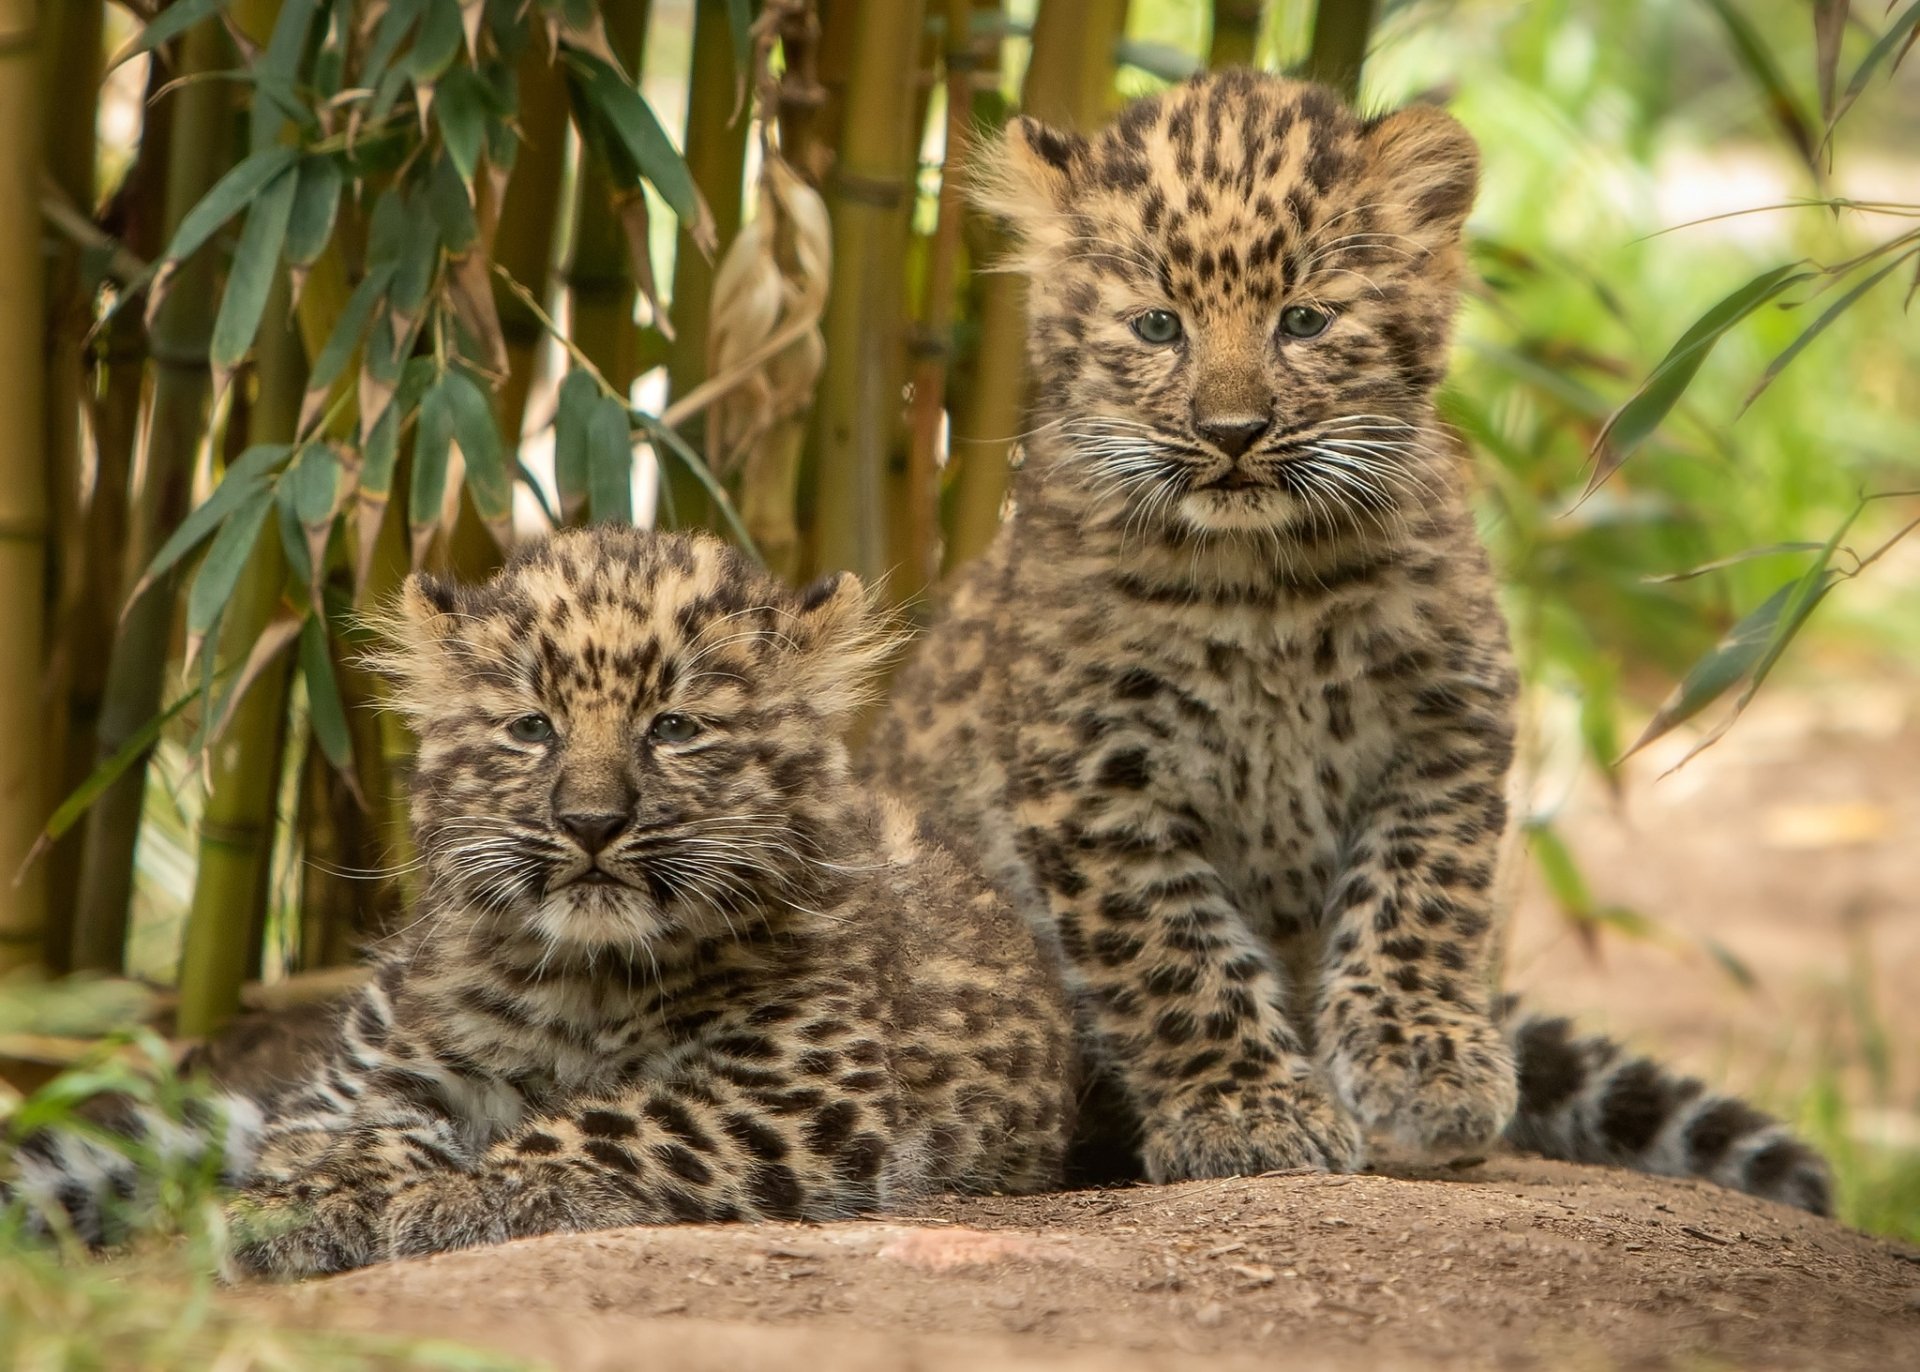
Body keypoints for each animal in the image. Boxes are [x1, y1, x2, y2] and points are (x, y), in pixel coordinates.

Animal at [6, 525, 1076, 1275]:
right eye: (531, 728)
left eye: (675, 728)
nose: (591, 821)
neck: (582, 980)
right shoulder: (383, 1077)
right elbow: (342, 1138)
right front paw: (302, 1209)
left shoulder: (801, 1087)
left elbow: (625, 1120)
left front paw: (478, 1192)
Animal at [867, 69, 1831, 1213]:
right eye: (1155, 326)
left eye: (1304, 320)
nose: (1231, 432)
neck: (1264, 584)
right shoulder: (1098, 781)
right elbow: (1172, 951)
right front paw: (1246, 1111)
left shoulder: (1446, 727)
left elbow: (1417, 895)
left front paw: (1424, 1066)